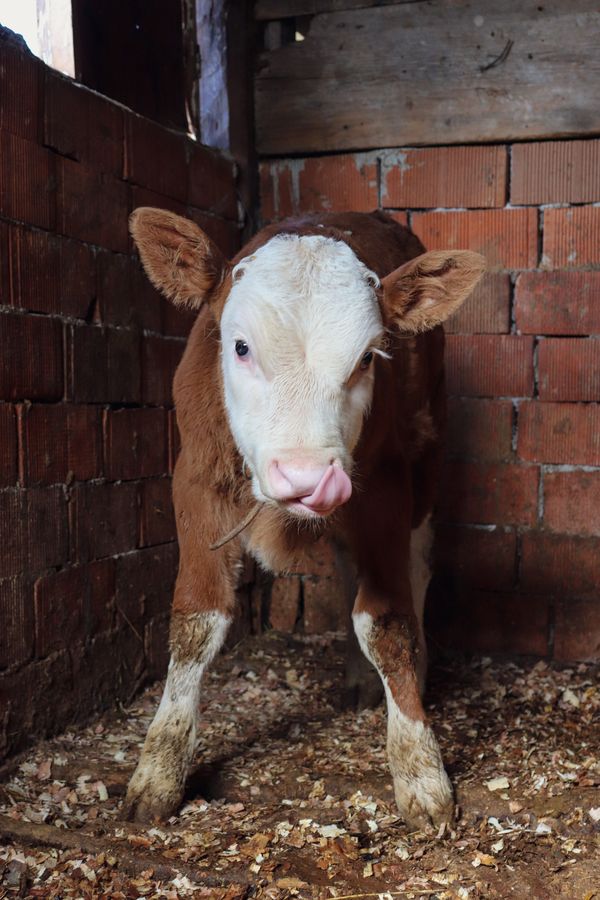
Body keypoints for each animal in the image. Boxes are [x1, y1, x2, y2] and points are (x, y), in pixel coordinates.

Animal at [123, 207, 484, 830]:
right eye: (240, 347)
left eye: (368, 357)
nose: (306, 476)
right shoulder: (195, 480)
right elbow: (196, 621)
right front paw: (159, 769)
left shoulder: (385, 489)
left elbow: (386, 624)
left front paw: (420, 769)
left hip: (426, 454)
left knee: (415, 568)